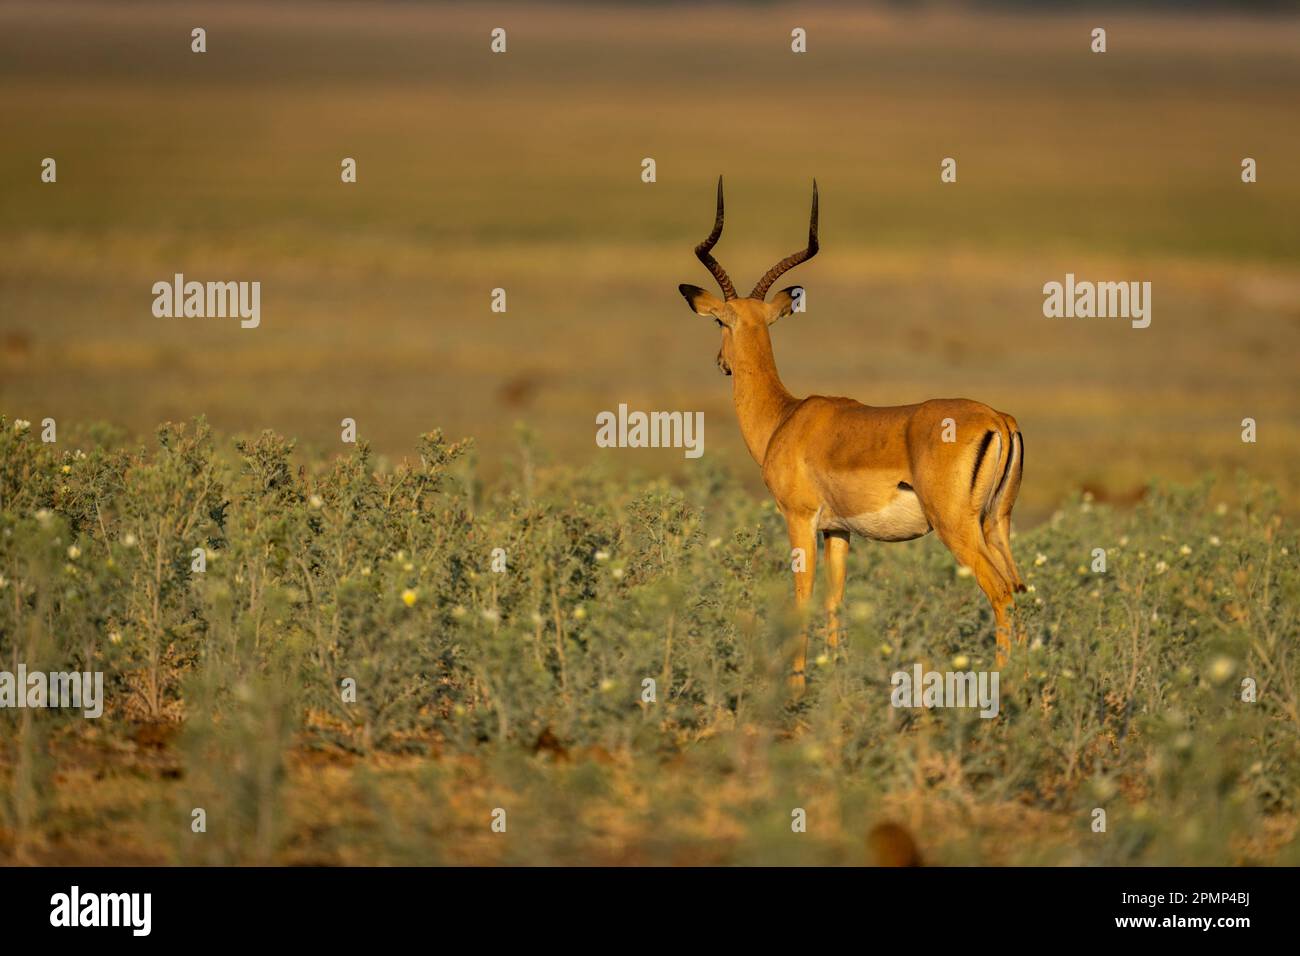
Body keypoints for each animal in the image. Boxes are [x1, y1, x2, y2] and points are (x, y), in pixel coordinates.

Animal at [678, 178, 1026, 692]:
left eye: (721, 320)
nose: (720, 363)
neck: (785, 417)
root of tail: (998, 419)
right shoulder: (838, 531)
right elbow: (834, 601)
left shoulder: (799, 519)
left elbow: (801, 598)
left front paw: (797, 688)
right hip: (996, 524)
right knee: (1022, 589)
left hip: (957, 527)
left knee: (1001, 593)